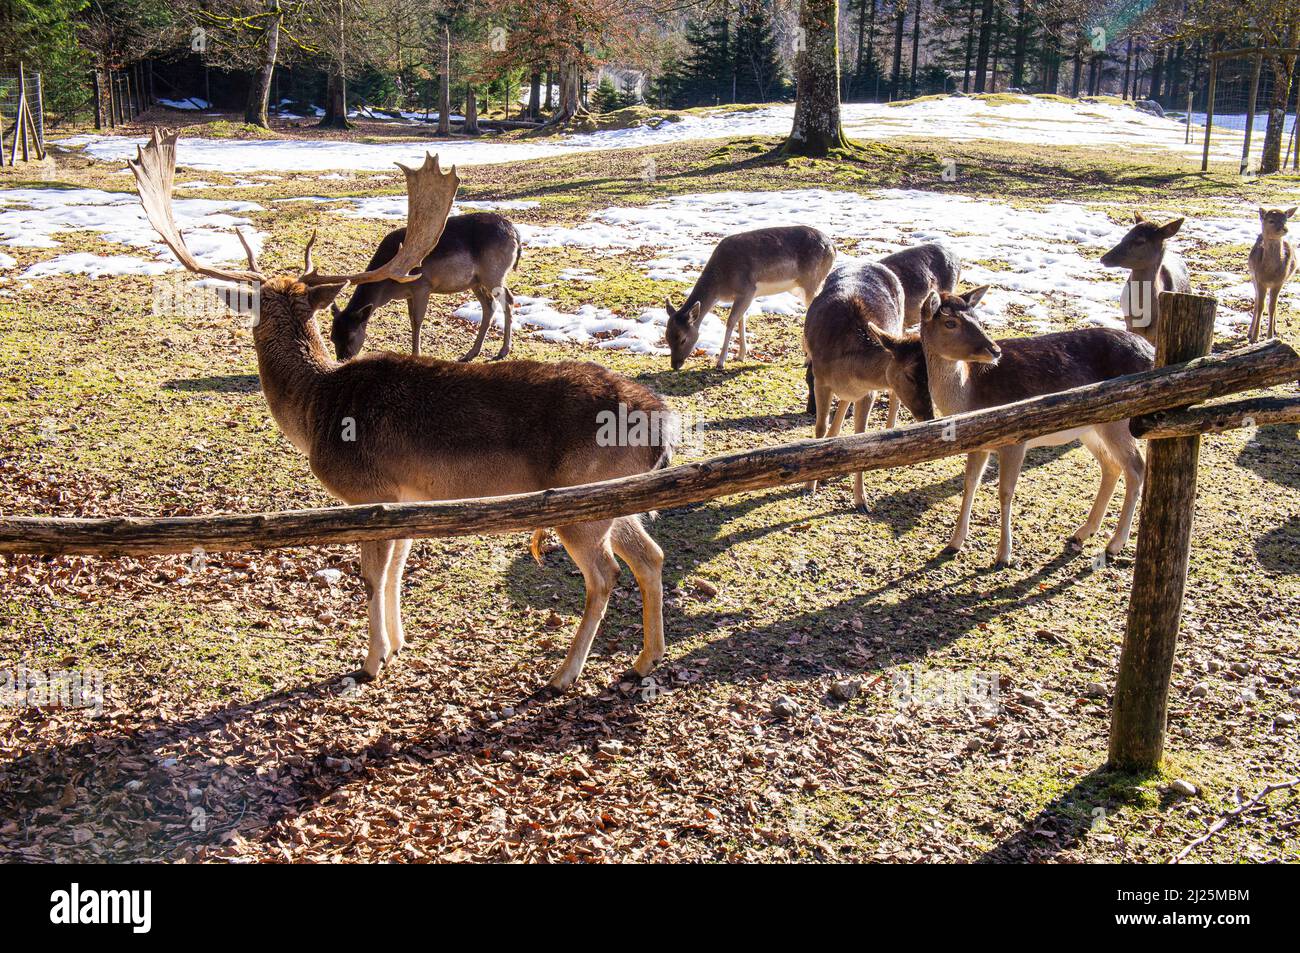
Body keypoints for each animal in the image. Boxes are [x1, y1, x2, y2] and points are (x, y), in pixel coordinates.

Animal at [328, 214, 521, 362]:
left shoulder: (422, 286)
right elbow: (410, 319)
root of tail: (515, 232)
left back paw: (503, 351)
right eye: (332, 337)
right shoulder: (408, 294)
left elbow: (417, 320)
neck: (389, 288)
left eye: (351, 335)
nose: (342, 360)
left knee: (508, 300)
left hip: (494, 273)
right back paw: (471, 353)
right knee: (489, 305)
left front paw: (416, 354)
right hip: (476, 282)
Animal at [665, 225, 836, 371]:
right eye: (667, 338)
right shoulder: (744, 295)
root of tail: (833, 248)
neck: (721, 284)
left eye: (683, 339)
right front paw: (740, 355)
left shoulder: (747, 289)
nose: (675, 365)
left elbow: (731, 321)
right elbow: (742, 319)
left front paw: (720, 362)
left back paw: (808, 360)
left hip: (812, 281)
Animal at [802, 260, 933, 510]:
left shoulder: (868, 392)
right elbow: (820, 427)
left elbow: (860, 435)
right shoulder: (820, 379)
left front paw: (861, 500)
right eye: (910, 375)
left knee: (889, 396)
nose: (929, 416)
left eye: (932, 376)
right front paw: (809, 484)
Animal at [868, 288, 1153, 567]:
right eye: (950, 323)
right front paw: (953, 544)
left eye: (977, 318)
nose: (994, 350)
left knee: (1136, 467)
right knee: (1111, 465)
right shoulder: (978, 445)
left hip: (1121, 420)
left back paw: (1114, 544)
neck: (970, 393)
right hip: (1092, 427)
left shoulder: (1016, 440)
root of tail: (1151, 353)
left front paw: (1003, 556)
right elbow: (969, 484)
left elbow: (1005, 492)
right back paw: (1083, 532)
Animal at [1247, 206, 1297, 343]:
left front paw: (1269, 336)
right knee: (1256, 300)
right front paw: (1254, 337)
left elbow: (1272, 307)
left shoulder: (1279, 282)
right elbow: (1260, 306)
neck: (1270, 273)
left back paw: (1274, 329)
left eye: (1285, 219)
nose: (1285, 229)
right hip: (1253, 278)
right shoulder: (1259, 280)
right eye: (1271, 220)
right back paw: (1249, 332)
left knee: (1274, 304)